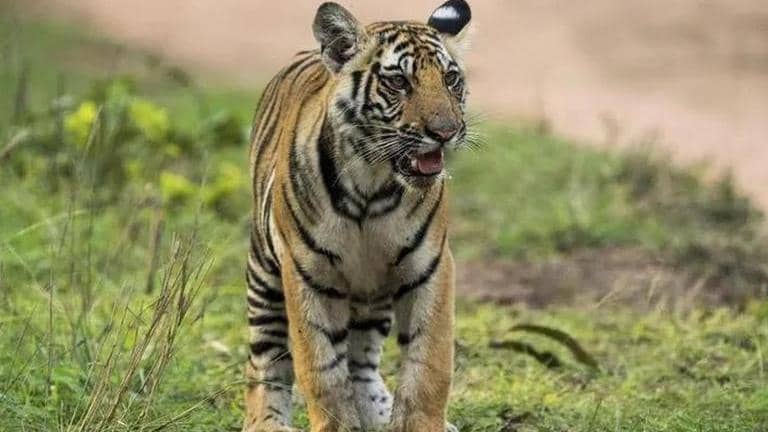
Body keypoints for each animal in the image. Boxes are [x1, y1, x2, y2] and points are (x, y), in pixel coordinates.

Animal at [243, 1, 472, 431]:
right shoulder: (306, 274)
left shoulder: (429, 267)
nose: (446, 131)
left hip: (373, 296)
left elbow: (428, 364)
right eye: (398, 82)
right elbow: (322, 372)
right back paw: (266, 422)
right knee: (266, 362)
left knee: (361, 361)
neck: (373, 184)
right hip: (264, 276)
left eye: (451, 79)